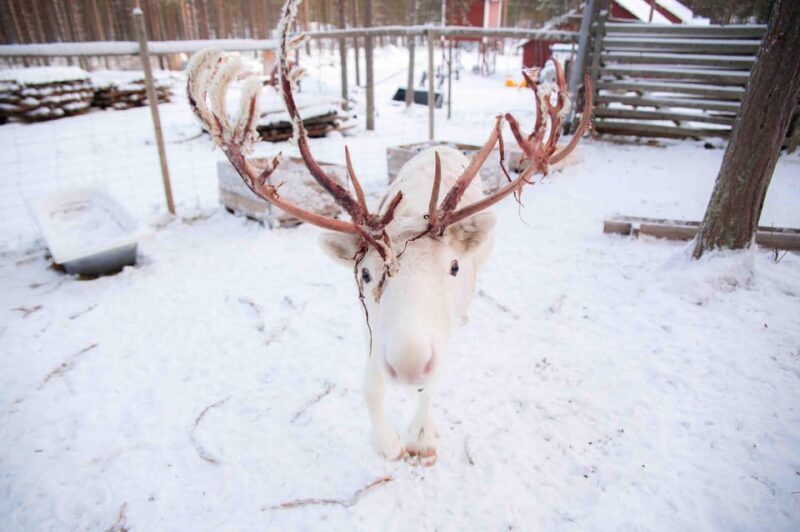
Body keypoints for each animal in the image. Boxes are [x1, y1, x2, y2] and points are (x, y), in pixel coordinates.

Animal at [186, 0, 592, 466]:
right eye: (365, 273)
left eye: (454, 266)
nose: (410, 363)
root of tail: (439, 145)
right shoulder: (370, 324)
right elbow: (370, 387)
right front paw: (387, 444)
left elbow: (433, 388)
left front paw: (421, 437)